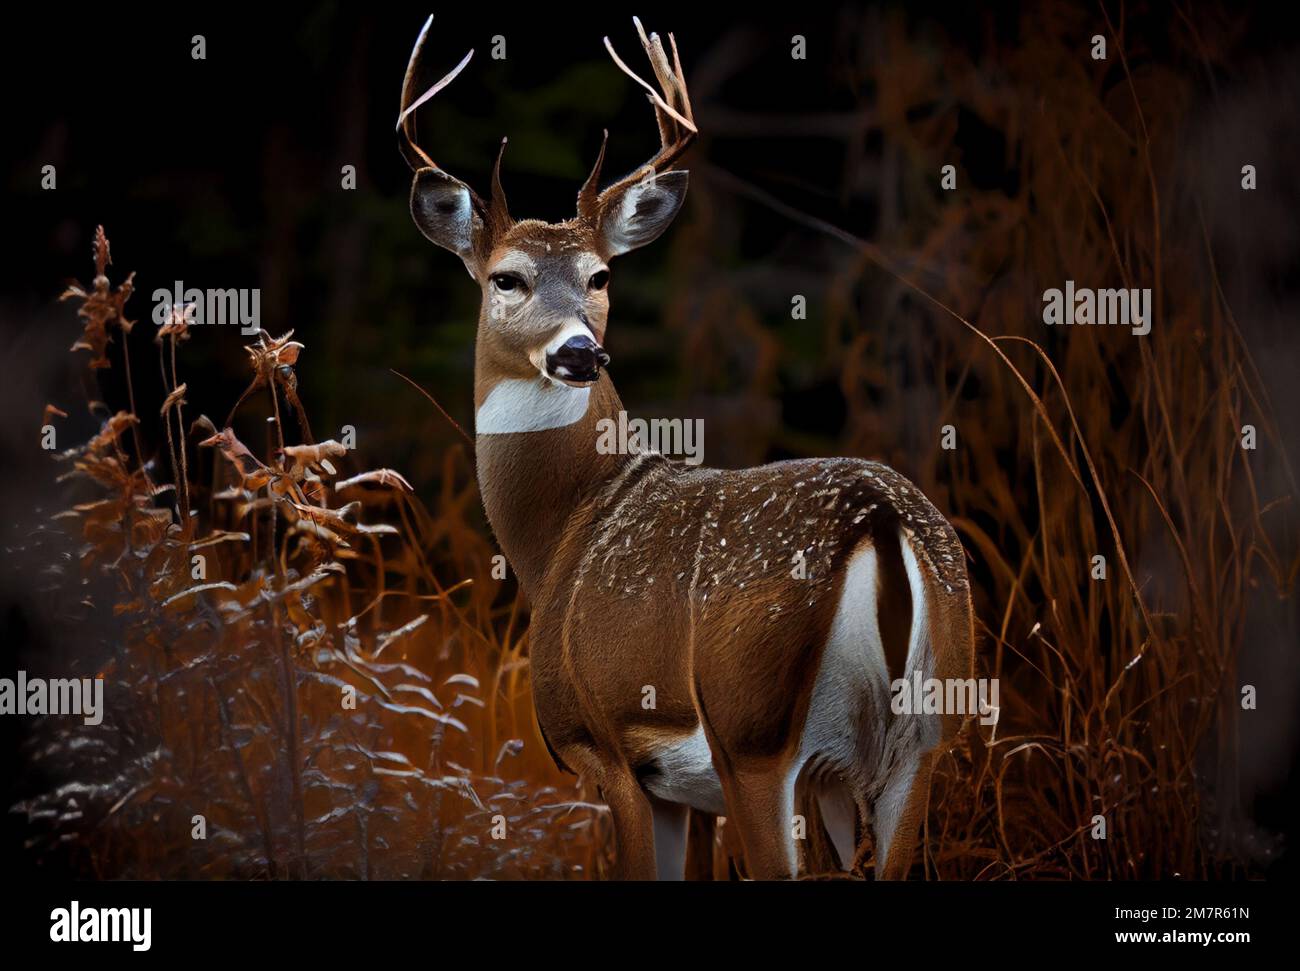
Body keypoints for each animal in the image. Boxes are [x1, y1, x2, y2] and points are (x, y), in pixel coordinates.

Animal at [398, 15, 975, 880]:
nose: (579, 352)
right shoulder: (697, 790)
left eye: (600, 276)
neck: (563, 530)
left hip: (754, 731)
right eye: (506, 278)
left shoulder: (606, 743)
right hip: (922, 742)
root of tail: (883, 521)